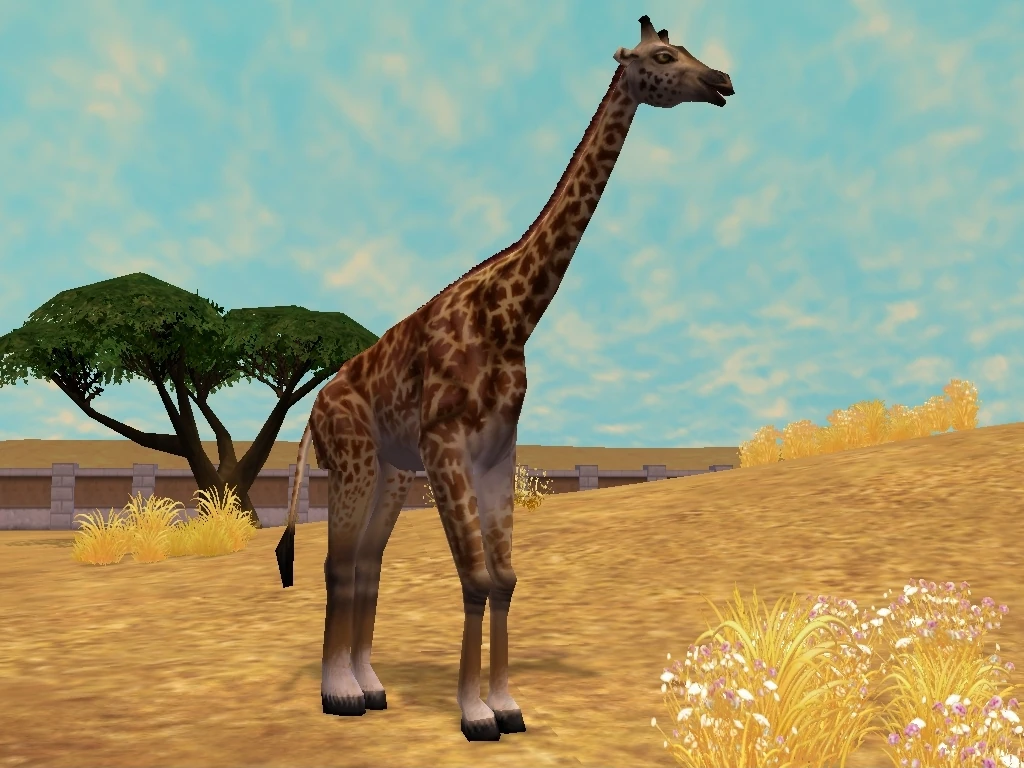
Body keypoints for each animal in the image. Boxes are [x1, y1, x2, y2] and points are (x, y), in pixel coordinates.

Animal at [275, 14, 734, 742]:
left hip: (391, 473)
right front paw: (473, 713)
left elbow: (507, 578)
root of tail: (312, 407)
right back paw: (339, 692)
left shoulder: (497, 451)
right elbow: (476, 579)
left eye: (685, 48)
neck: (513, 317)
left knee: (368, 564)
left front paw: (507, 704)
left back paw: (371, 686)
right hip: (351, 460)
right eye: (663, 57)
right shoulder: (446, 446)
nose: (723, 81)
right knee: (336, 562)